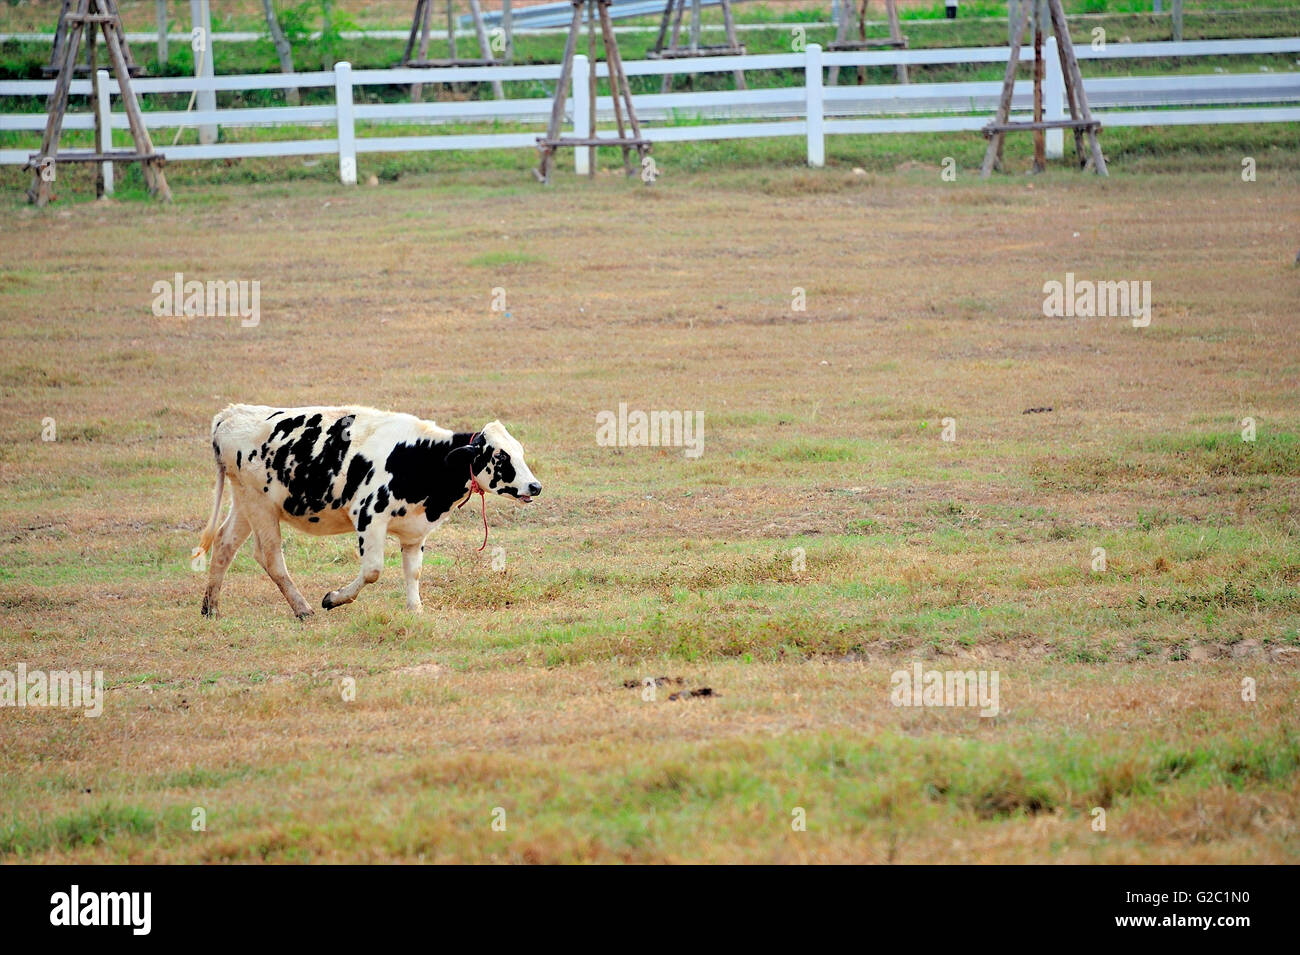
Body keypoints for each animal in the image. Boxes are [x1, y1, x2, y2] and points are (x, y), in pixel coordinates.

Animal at [195, 404, 541, 618]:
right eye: (501, 456)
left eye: (520, 451)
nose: (535, 486)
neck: (419, 457)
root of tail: (231, 414)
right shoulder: (369, 518)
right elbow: (373, 570)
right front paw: (333, 598)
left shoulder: (415, 532)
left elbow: (413, 571)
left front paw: (416, 610)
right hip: (260, 506)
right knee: (269, 556)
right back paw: (303, 608)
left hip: (245, 502)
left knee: (224, 544)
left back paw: (211, 608)